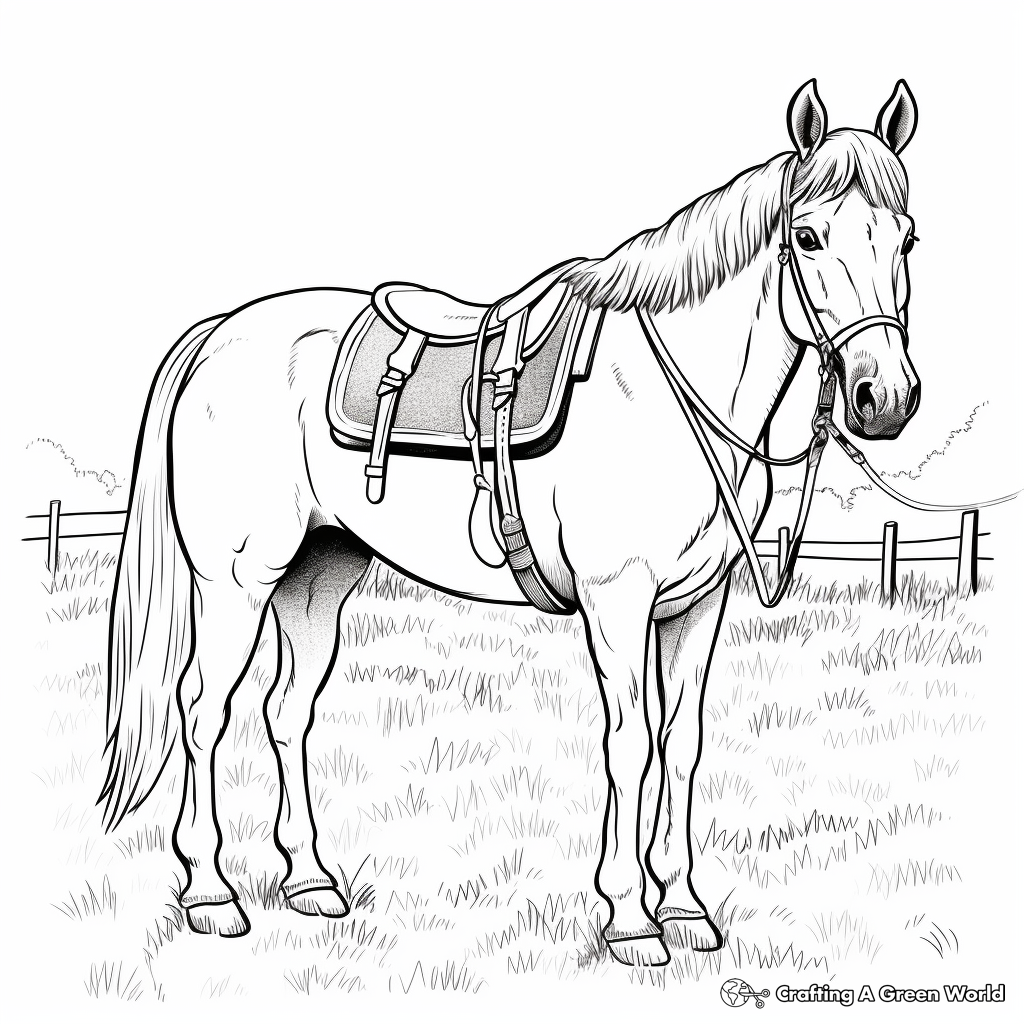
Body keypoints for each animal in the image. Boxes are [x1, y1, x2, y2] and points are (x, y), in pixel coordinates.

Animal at [100, 80, 921, 968]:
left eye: (906, 238)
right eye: (807, 236)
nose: (885, 397)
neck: (668, 396)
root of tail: (220, 334)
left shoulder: (700, 604)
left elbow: (683, 744)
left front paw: (686, 908)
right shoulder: (617, 600)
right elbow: (631, 744)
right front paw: (630, 918)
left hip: (316, 580)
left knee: (286, 713)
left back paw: (311, 883)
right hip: (236, 582)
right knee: (201, 710)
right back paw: (210, 894)